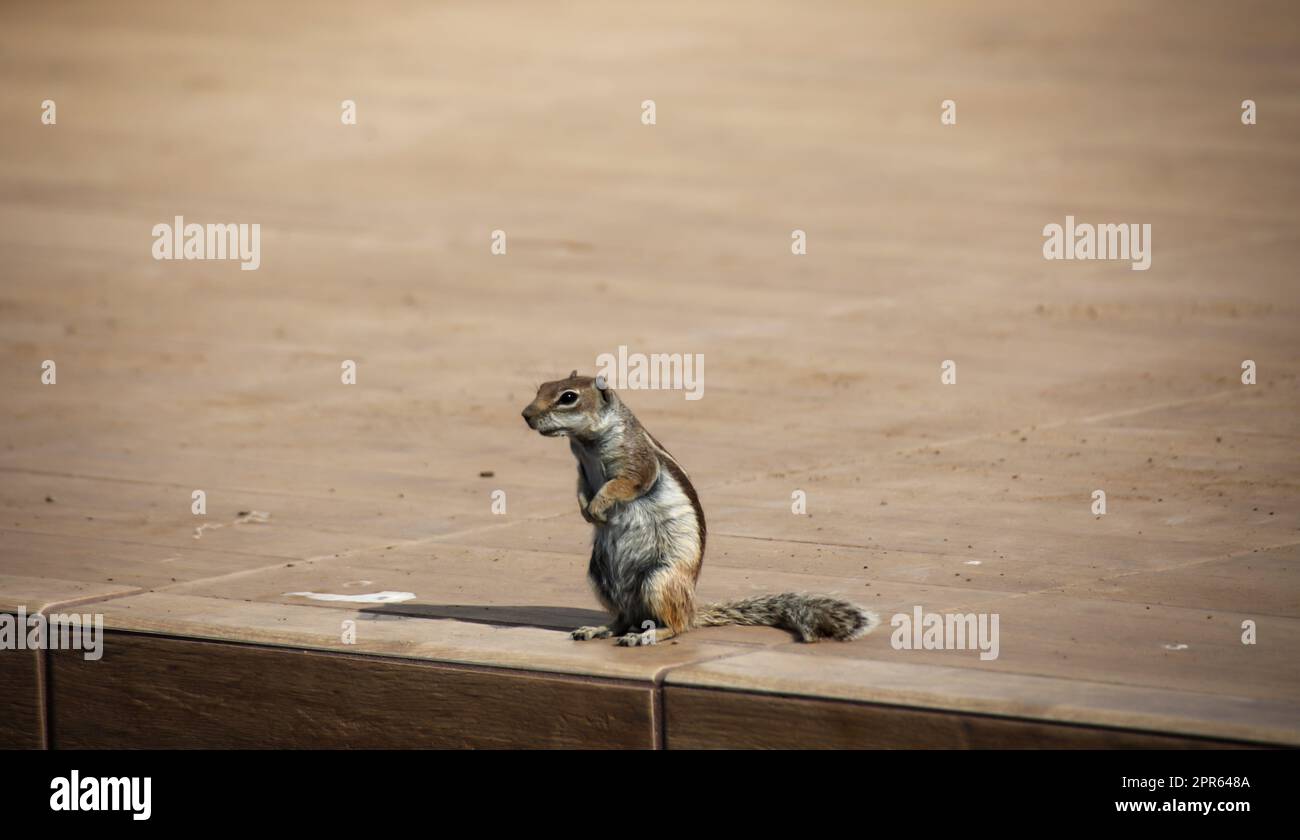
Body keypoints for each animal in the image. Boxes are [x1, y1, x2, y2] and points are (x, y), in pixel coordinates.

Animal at [522, 371, 879, 647]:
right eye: (542, 387)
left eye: (568, 397)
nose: (526, 415)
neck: (585, 445)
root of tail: (693, 608)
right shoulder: (581, 473)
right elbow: (582, 490)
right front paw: (587, 509)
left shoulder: (636, 462)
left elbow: (623, 484)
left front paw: (597, 506)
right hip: (600, 577)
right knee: (623, 618)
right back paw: (599, 629)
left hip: (660, 579)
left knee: (675, 626)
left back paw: (648, 635)